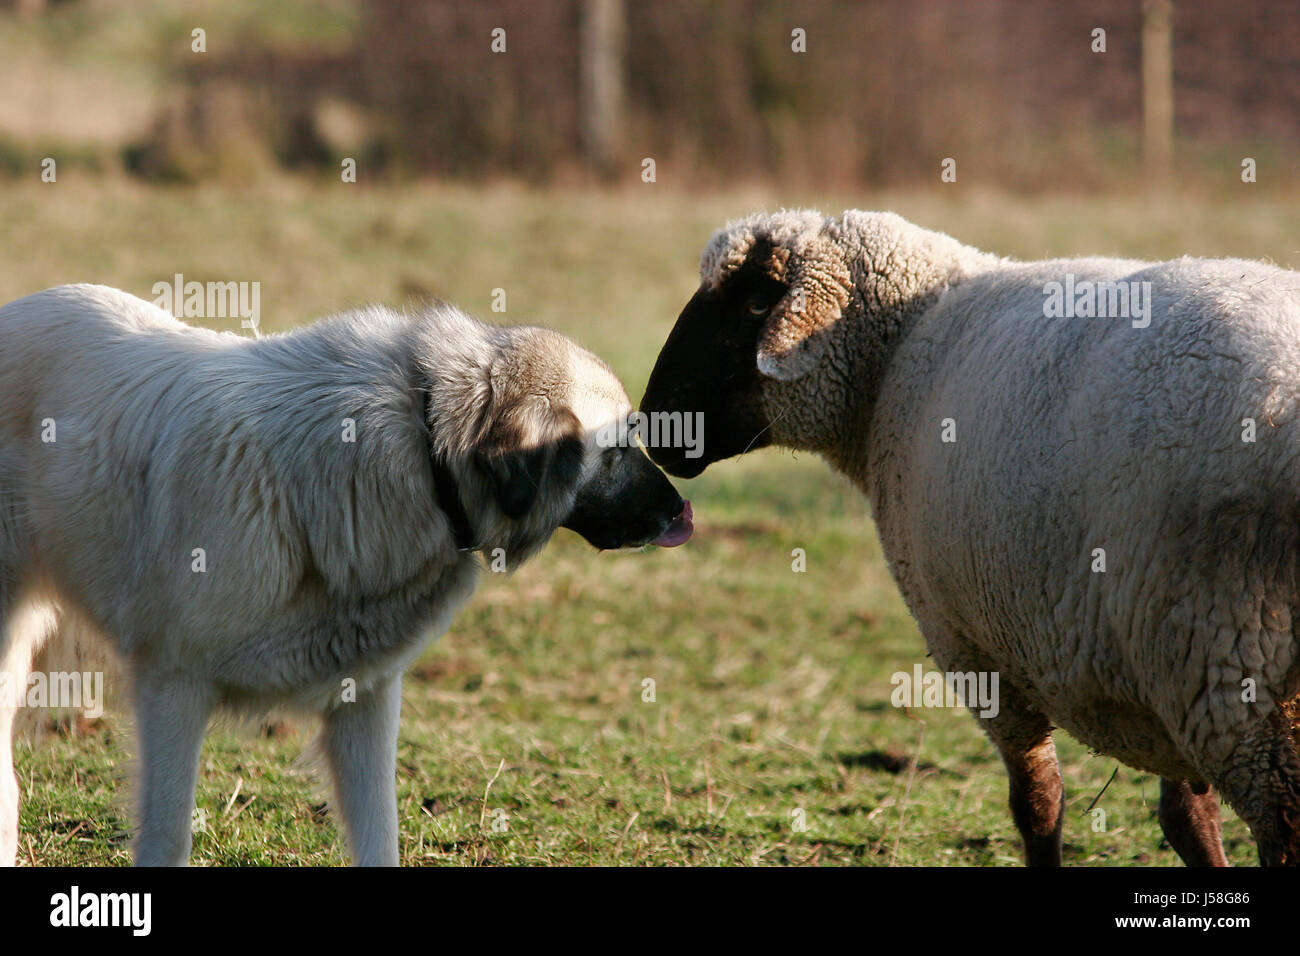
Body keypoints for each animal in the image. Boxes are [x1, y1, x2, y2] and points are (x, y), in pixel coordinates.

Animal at [640, 208, 1300, 866]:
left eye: (755, 303)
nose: (655, 424)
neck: (904, 342)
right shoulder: (1150, 673)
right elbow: (1186, 815)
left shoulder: (974, 646)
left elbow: (1039, 802)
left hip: (1229, 660)